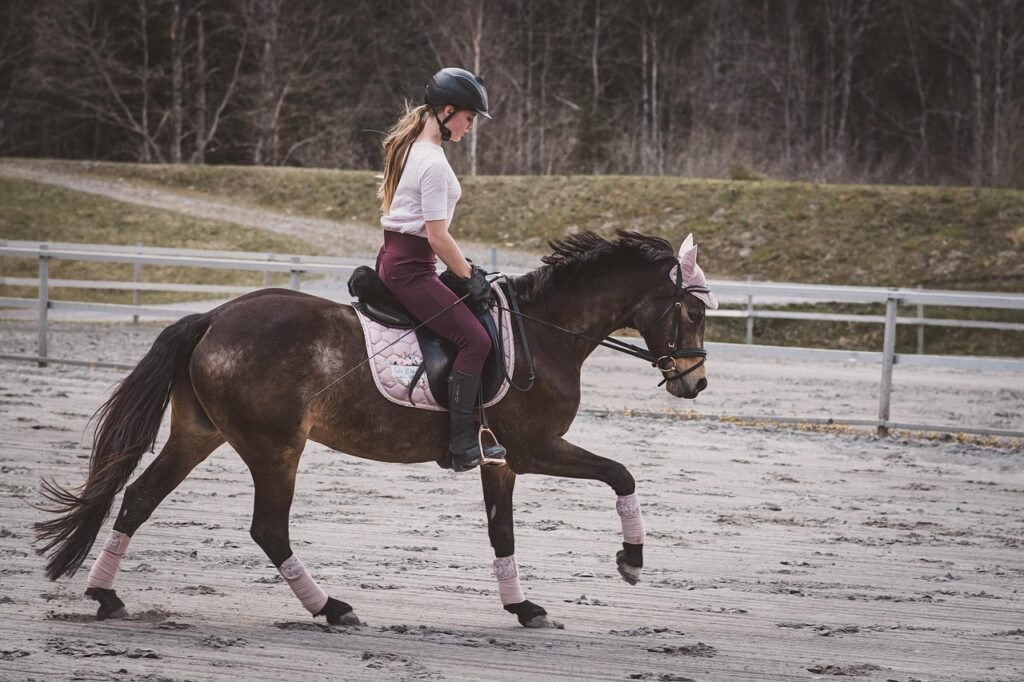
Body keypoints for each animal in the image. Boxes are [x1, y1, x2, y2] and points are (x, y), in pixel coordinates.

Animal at [34, 230, 714, 629]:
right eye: (691, 309)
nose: (696, 383)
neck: (544, 334)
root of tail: (214, 318)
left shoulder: (501, 460)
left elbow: (502, 533)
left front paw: (521, 607)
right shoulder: (534, 448)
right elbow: (620, 473)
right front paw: (631, 560)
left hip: (199, 434)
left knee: (139, 498)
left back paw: (105, 596)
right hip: (275, 447)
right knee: (268, 528)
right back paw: (332, 608)